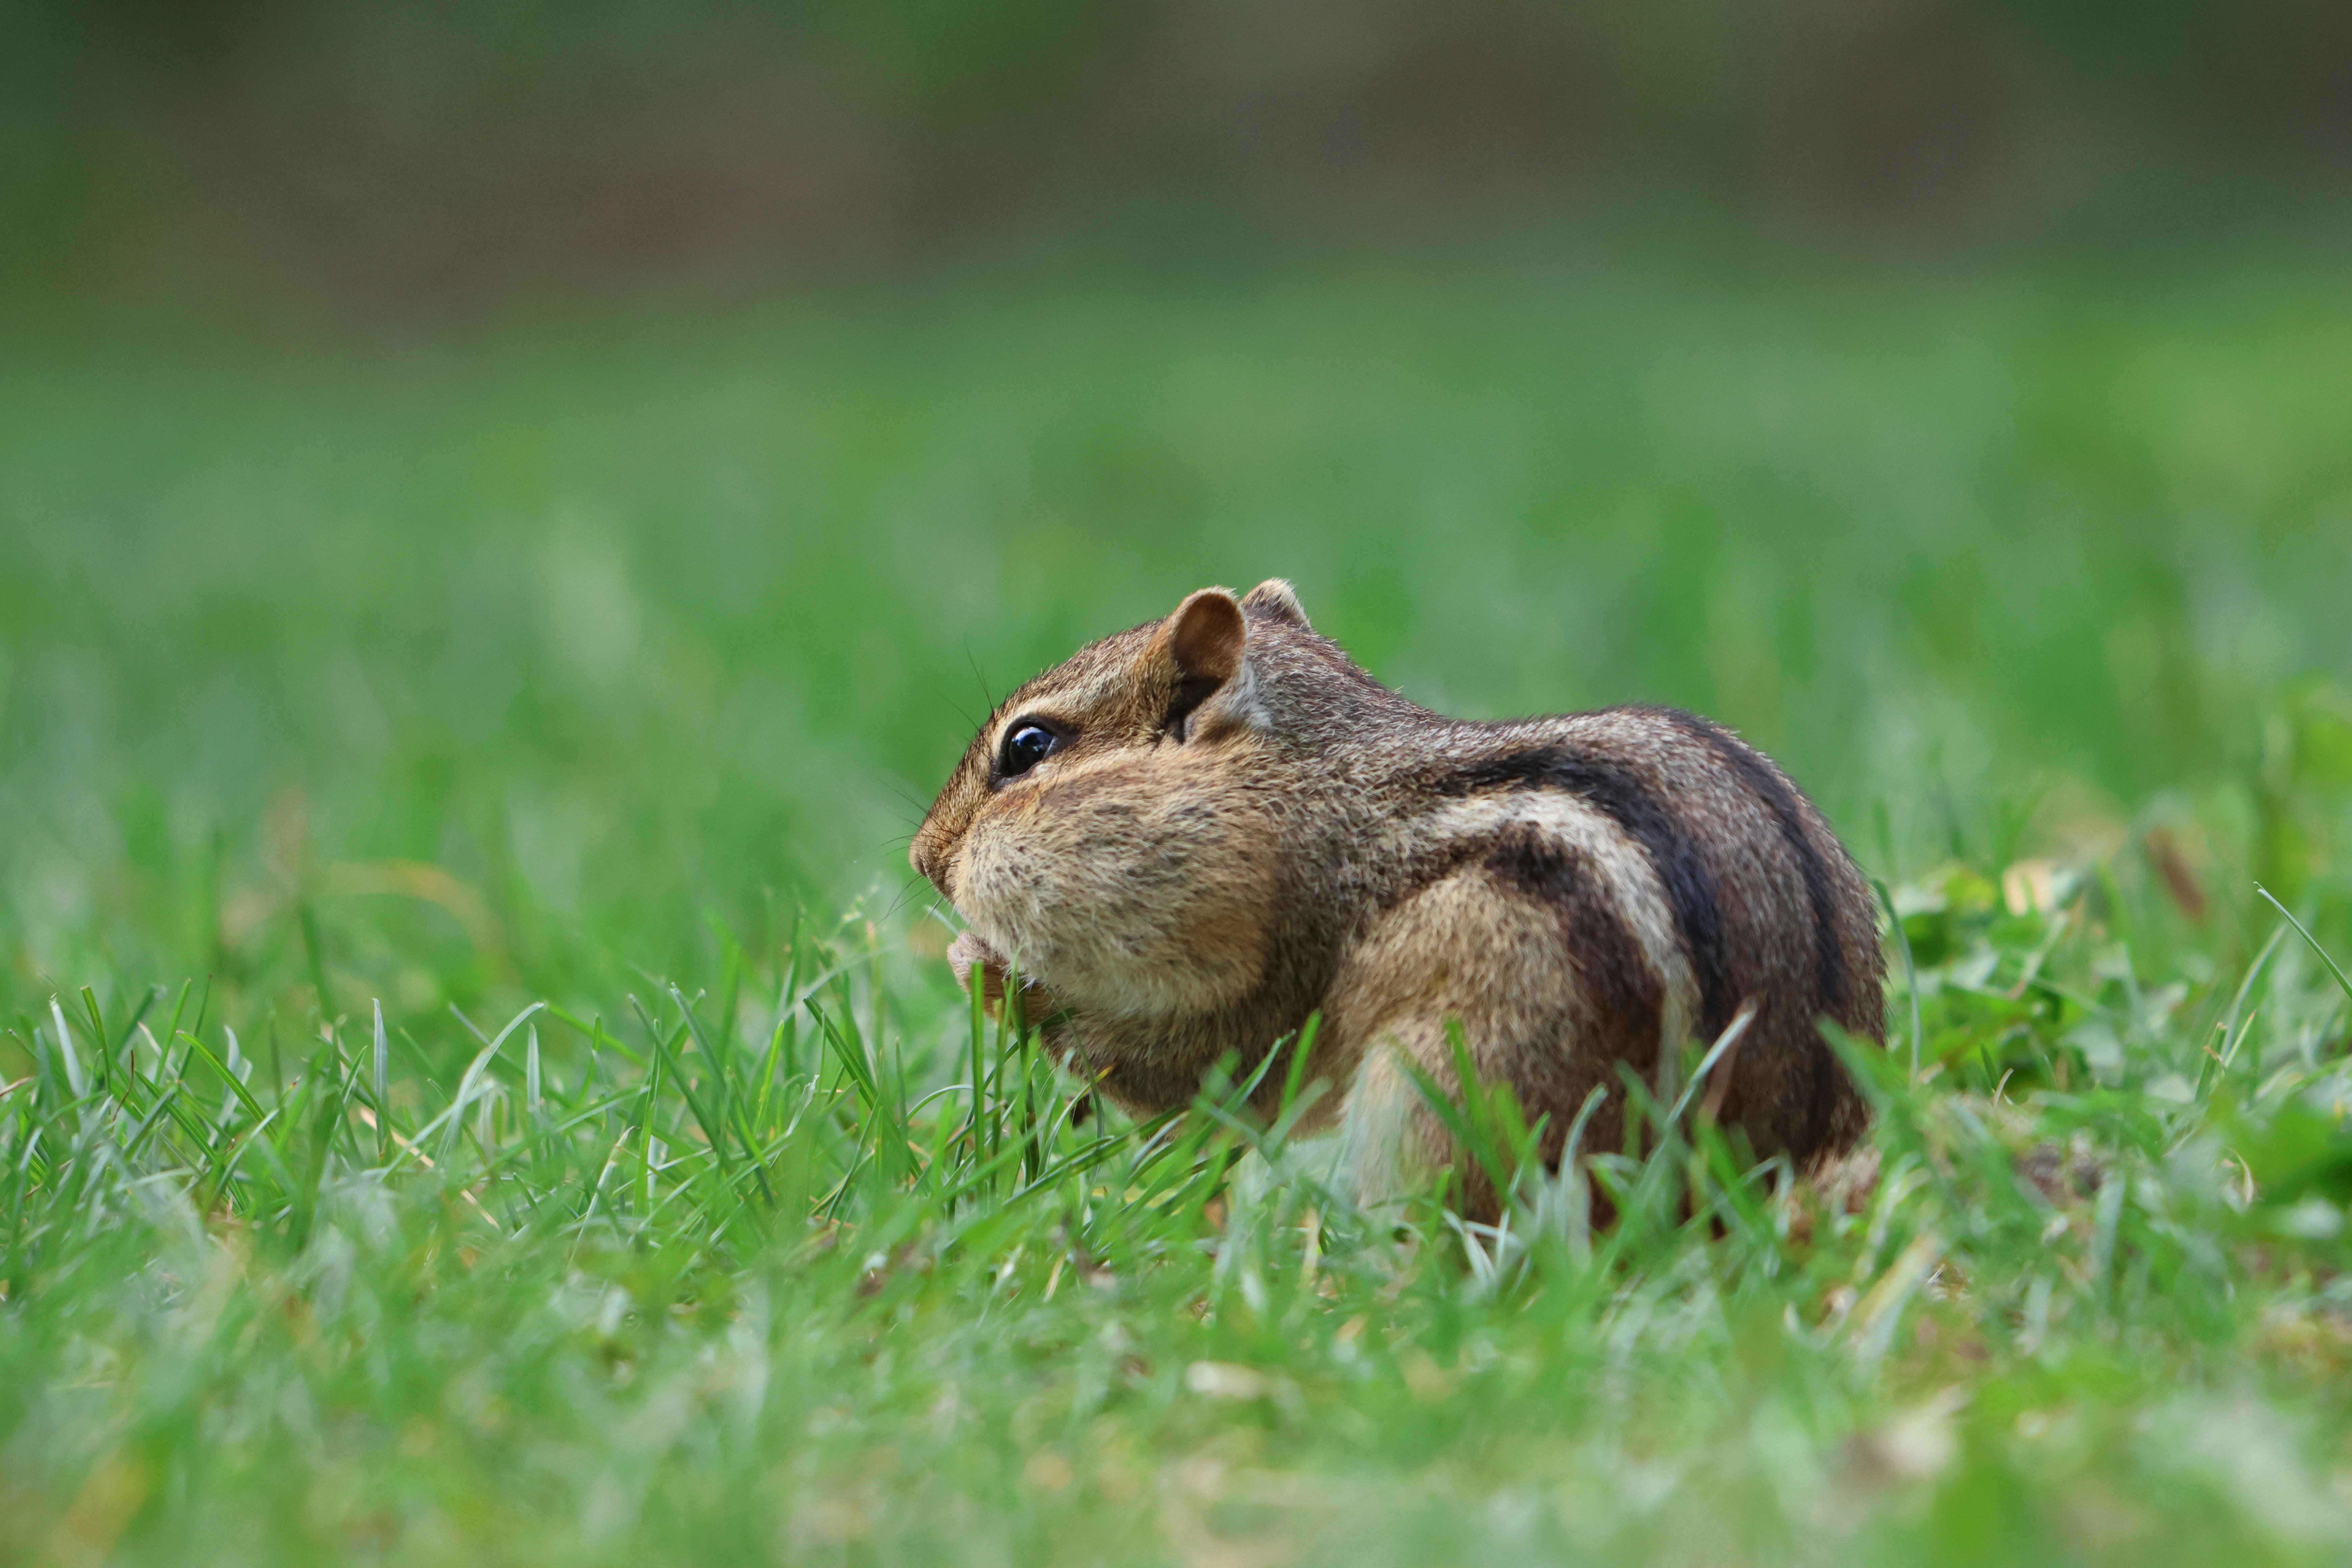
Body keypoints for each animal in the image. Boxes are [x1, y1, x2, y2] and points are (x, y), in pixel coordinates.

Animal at [910, 580, 1885, 1217]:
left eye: (1029, 747)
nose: (924, 859)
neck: (1297, 785)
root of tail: (1748, 1188)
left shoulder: (1281, 951)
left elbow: (1205, 1069)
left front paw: (983, 969)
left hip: (1450, 1085)